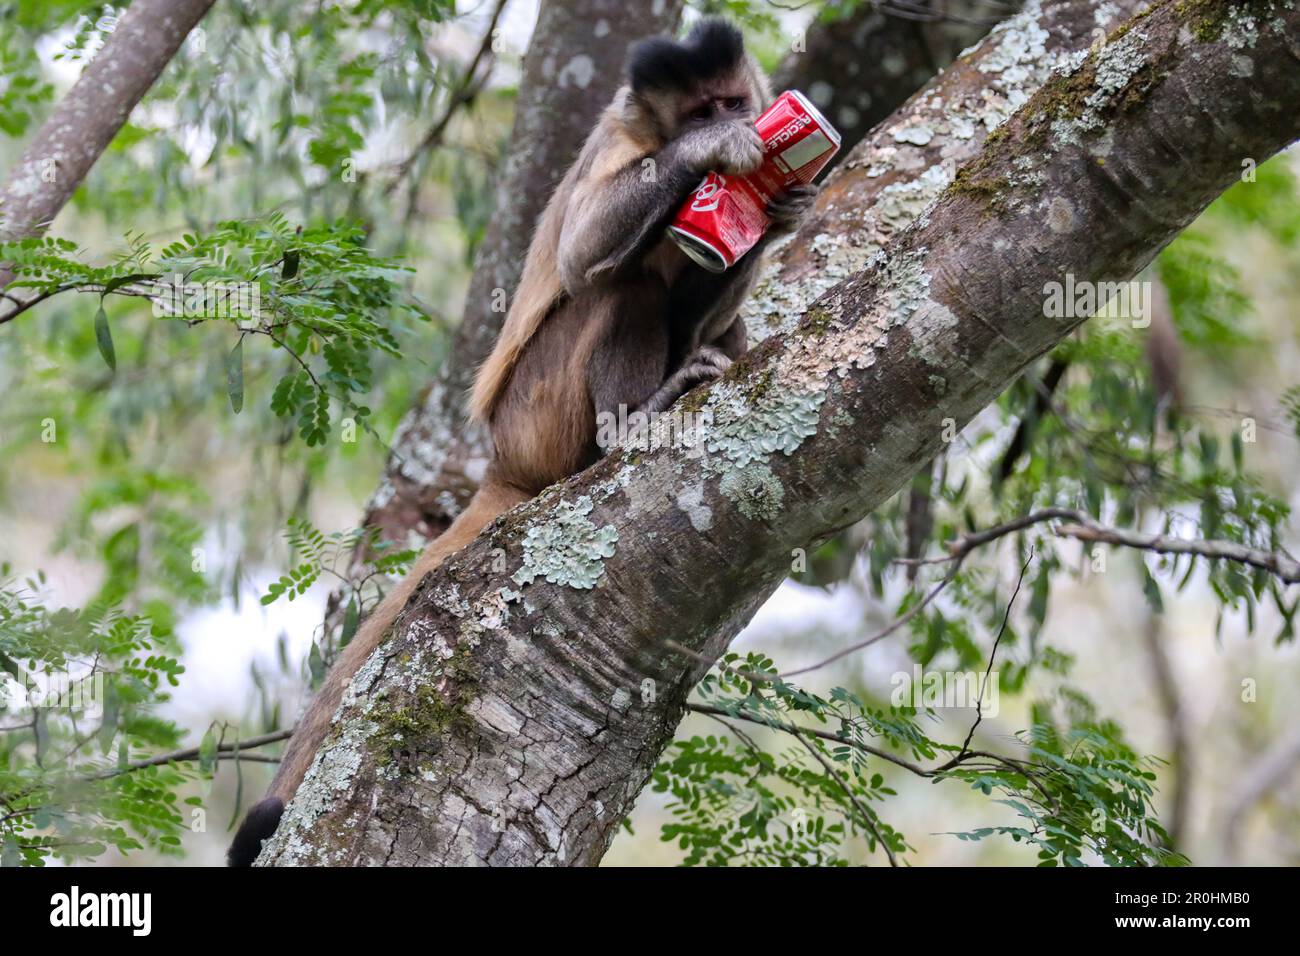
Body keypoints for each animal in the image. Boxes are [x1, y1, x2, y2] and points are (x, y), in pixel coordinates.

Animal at [227, 19, 818, 866]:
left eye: (736, 98)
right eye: (704, 111)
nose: (736, 121)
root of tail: (501, 460)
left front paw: (784, 199)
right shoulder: (619, 141)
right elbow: (582, 254)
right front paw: (716, 156)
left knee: (702, 317)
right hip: (535, 414)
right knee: (618, 282)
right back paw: (631, 422)